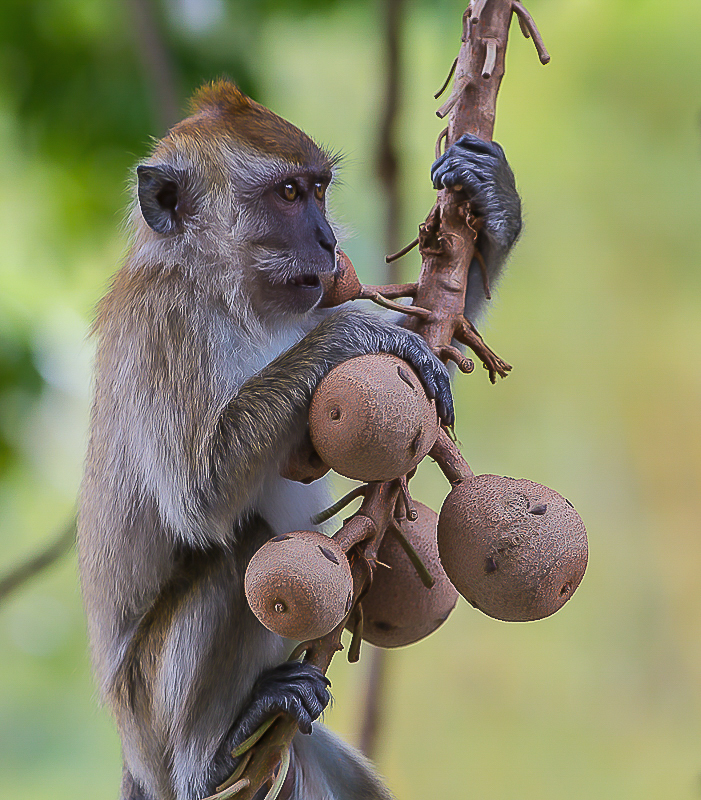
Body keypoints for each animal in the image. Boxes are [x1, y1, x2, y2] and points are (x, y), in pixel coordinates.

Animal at [77, 80, 521, 800]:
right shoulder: (164, 326)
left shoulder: (308, 301)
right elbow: (198, 495)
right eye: (288, 195)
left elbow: (438, 342)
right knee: (240, 550)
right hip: (149, 713)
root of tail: (133, 756)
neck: (230, 294)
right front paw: (357, 336)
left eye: (318, 190)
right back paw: (210, 756)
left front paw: (493, 201)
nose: (326, 238)